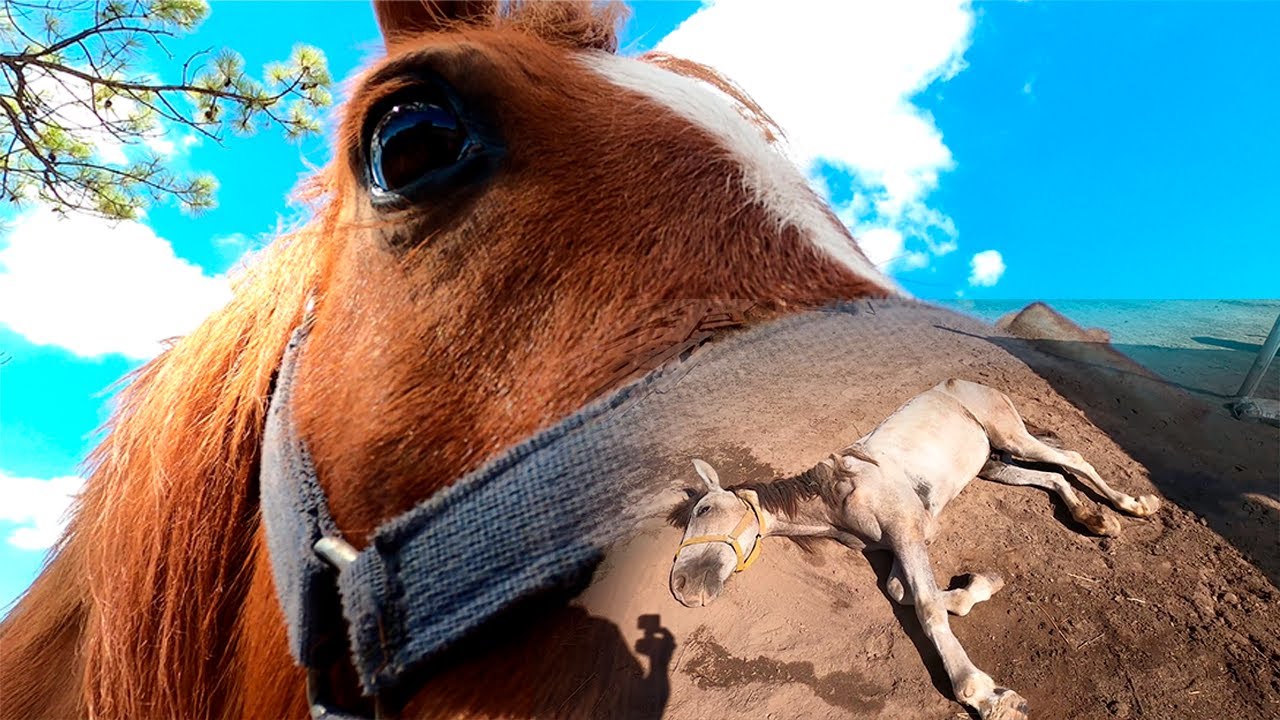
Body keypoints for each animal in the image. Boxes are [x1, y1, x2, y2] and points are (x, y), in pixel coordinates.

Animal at [668, 378, 1161, 720]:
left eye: (706, 509)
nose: (682, 587)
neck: (840, 494)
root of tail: (969, 384)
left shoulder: (907, 532)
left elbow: (925, 606)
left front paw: (986, 696)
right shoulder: (894, 547)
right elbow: (904, 593)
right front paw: (982, 583)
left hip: (1012, 439)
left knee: (1071, 459)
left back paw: (1134, 506)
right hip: (993, 464)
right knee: (1053, 477)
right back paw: (1093, 519)